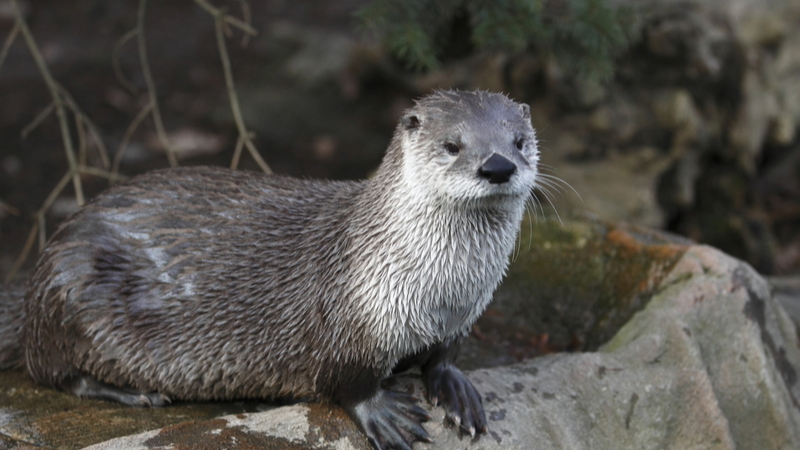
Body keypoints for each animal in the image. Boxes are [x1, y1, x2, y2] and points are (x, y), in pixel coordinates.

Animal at [0, 90, 539, 450]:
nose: (497, 166)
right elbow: (347, 381)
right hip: (71, 287)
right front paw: (382, 414)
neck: (441, 293)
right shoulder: (352, 318)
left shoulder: (462, 318)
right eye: (452, 145)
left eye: (518, 141)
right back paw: (136, 395)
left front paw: (455, 389)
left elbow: (441, 359)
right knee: (50, 369)